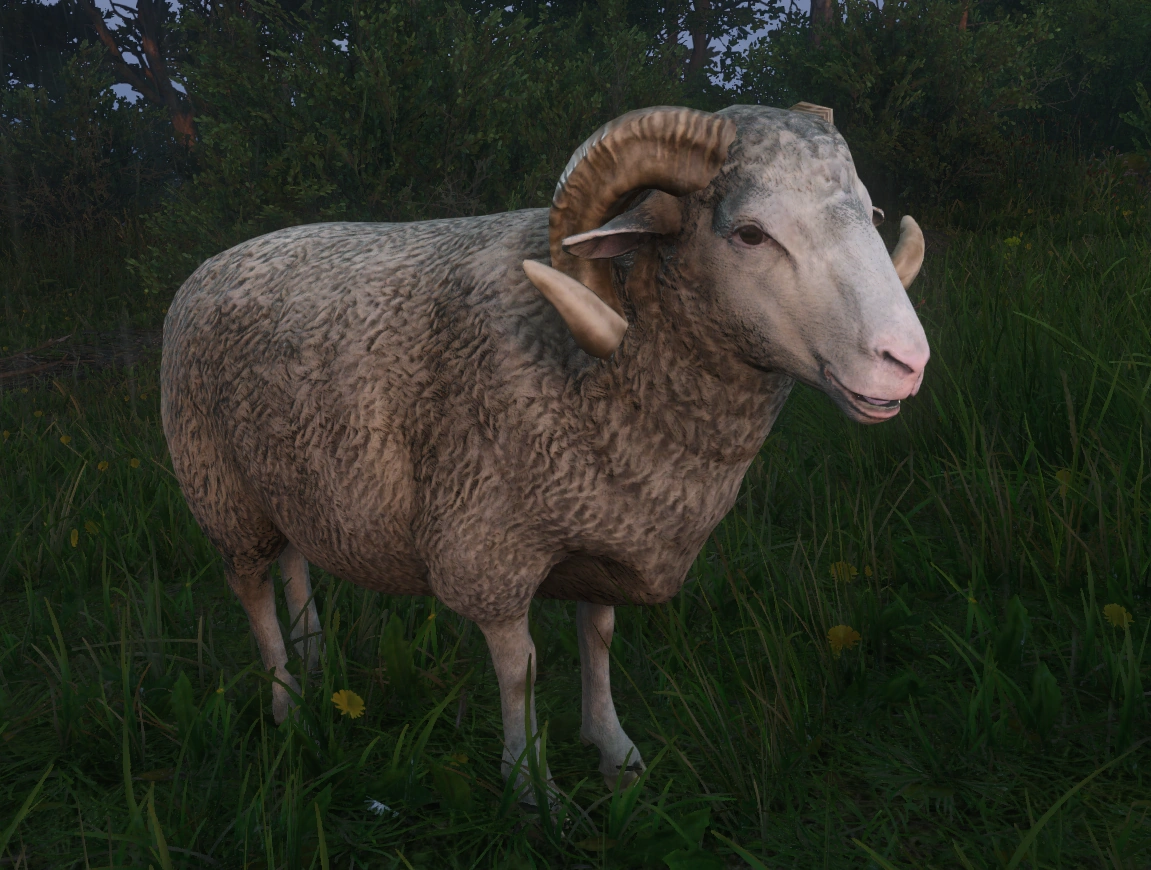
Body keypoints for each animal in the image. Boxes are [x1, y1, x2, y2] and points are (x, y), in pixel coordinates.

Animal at [160, 104, 928, 798]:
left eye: (871, 213)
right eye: (748, 233)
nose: (907, 362)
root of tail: (213, 264)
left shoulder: (609, 527)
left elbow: (600, 637)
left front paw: (615, 754)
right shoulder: (488, 551)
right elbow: (520, 668)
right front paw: (531, 786)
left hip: (283, 478)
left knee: (293, 563)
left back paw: (316, 662)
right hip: (219, 487)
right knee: (251, 591)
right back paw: (287, 704)